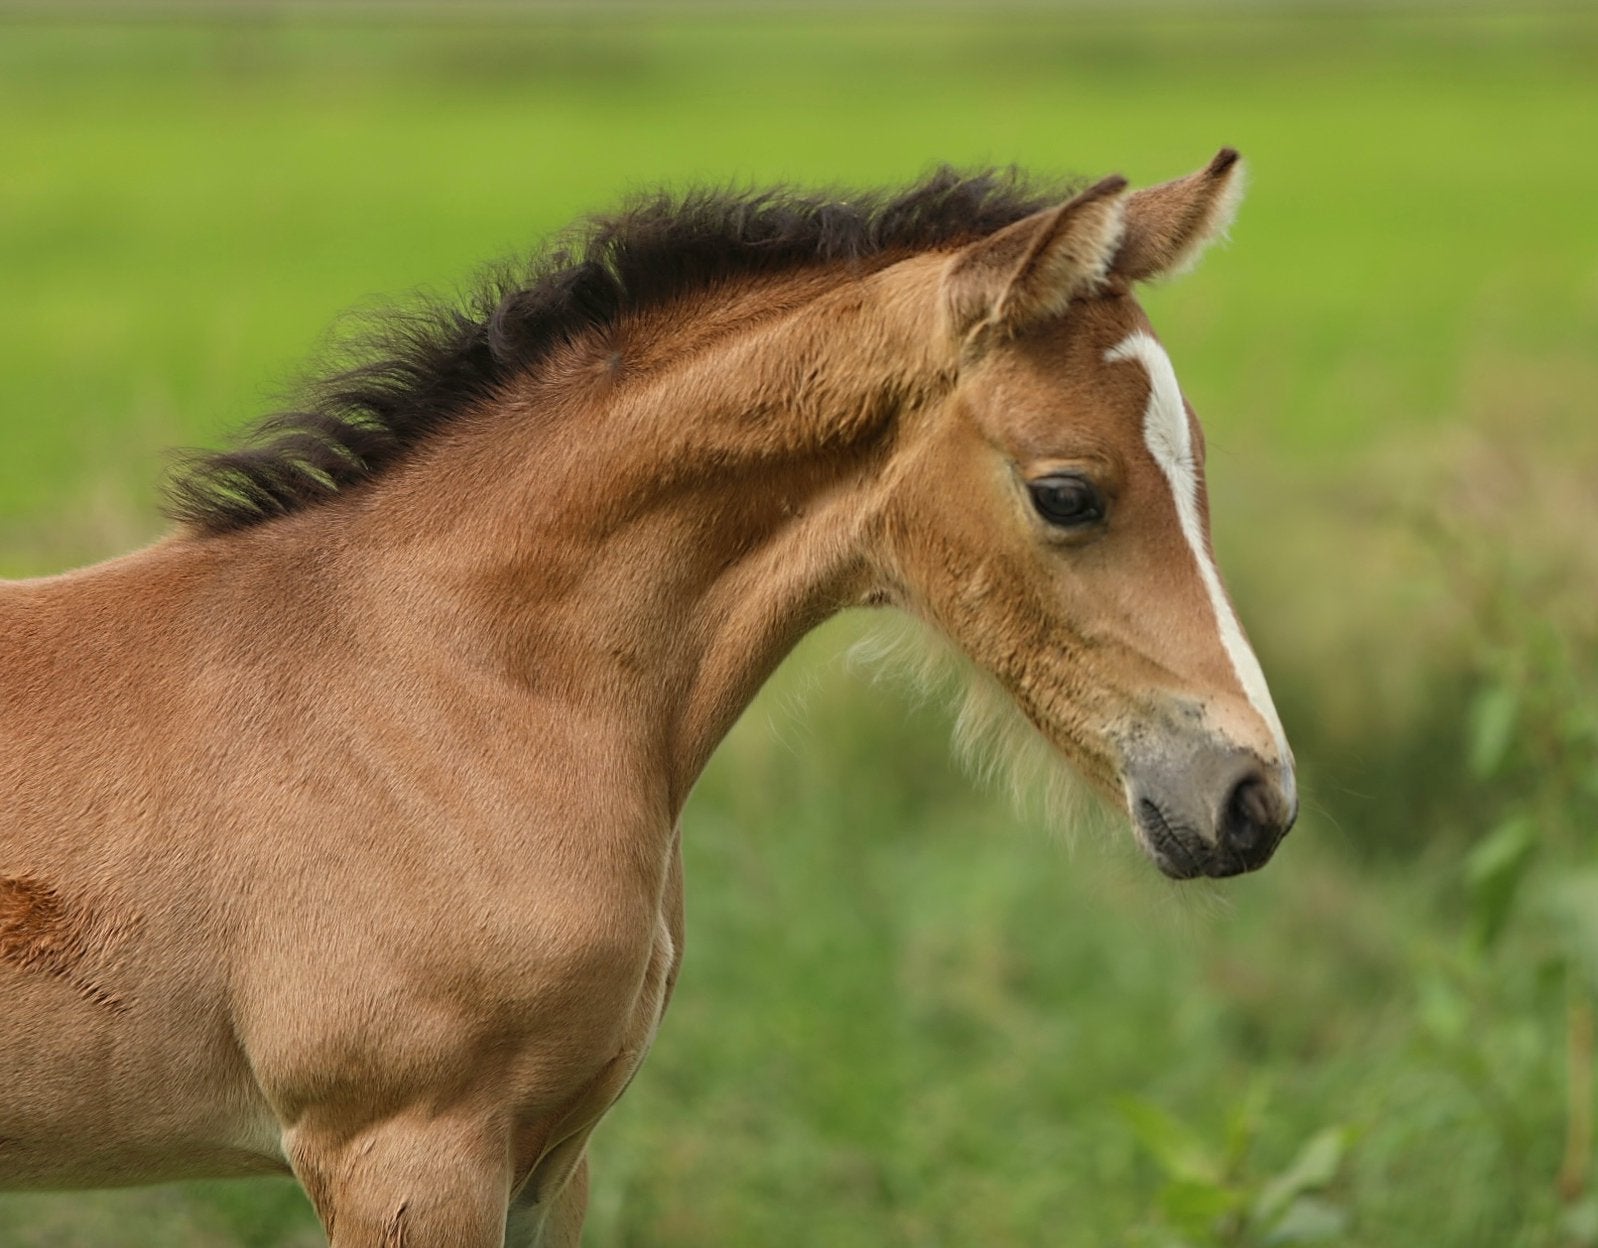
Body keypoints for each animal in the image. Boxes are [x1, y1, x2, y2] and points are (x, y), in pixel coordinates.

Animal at [0, 150, 1295, 1245]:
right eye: (1065, 492)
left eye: (1196, 466)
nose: (1252, 796)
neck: (447, 679)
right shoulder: (401, 1151)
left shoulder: (547, 1159)